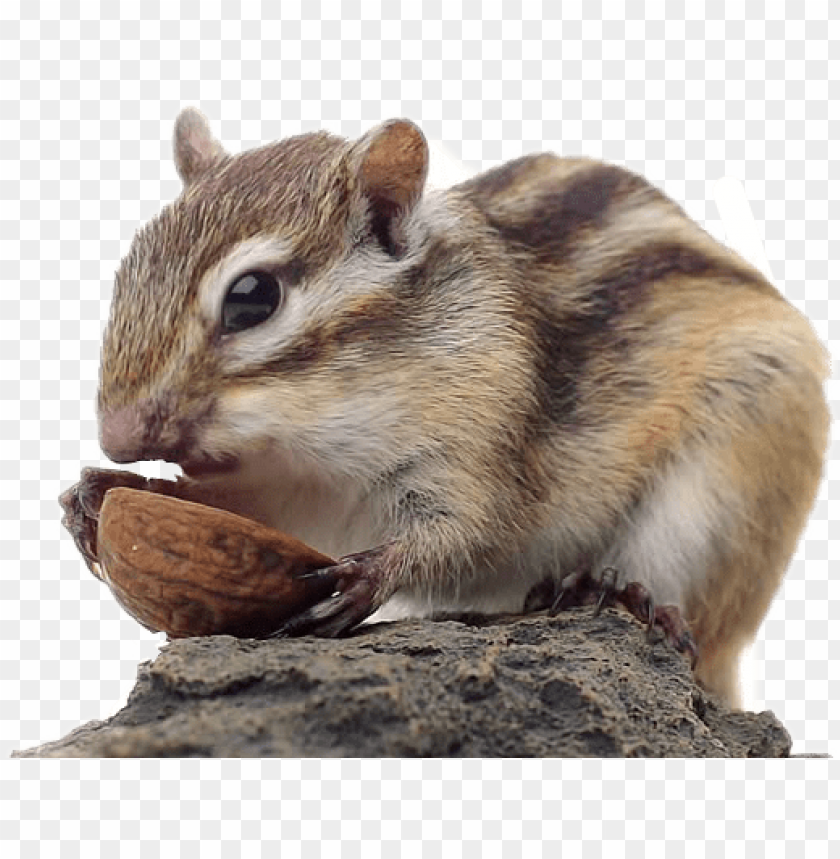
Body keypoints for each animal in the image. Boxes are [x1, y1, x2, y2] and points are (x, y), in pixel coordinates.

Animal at [60, 108, 829, 708]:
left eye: (253, 298)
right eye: (126, 271)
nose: (116, 435)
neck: (318, 441)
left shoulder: (484, 441)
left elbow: (469, 534)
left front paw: (372, 573)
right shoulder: (281, 494)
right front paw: (99, 494)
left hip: (725, 489)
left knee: (690, 620)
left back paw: (615, 592)